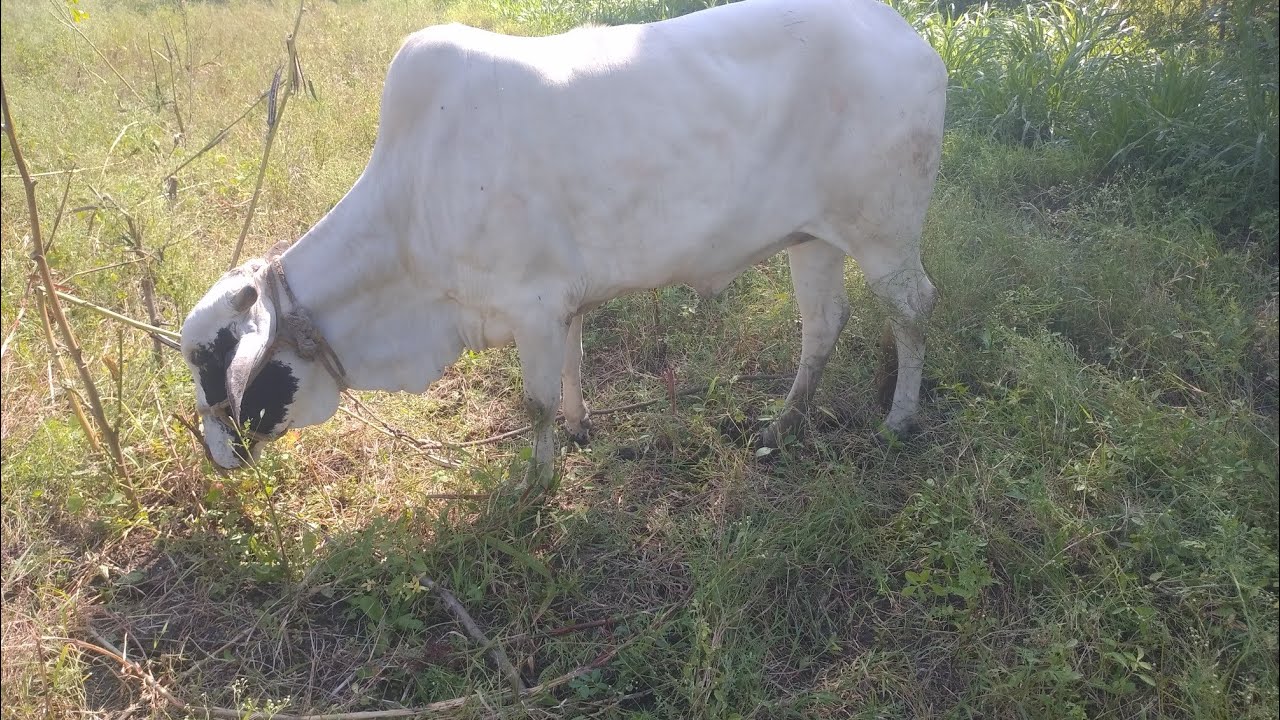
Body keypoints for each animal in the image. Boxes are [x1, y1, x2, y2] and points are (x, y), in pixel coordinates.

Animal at [179, 0, 946, 485]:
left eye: (214, 363)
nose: (215, 453)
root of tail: (909, 37)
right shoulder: (563, 304)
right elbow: (573, 371)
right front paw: (580, 431)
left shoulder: (533, 304)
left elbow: (536, 406)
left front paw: (535, 484)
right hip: (812, 238)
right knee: (822, 326)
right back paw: (783, 422)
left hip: (884, 234)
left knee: (914, 309)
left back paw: (901, 418)